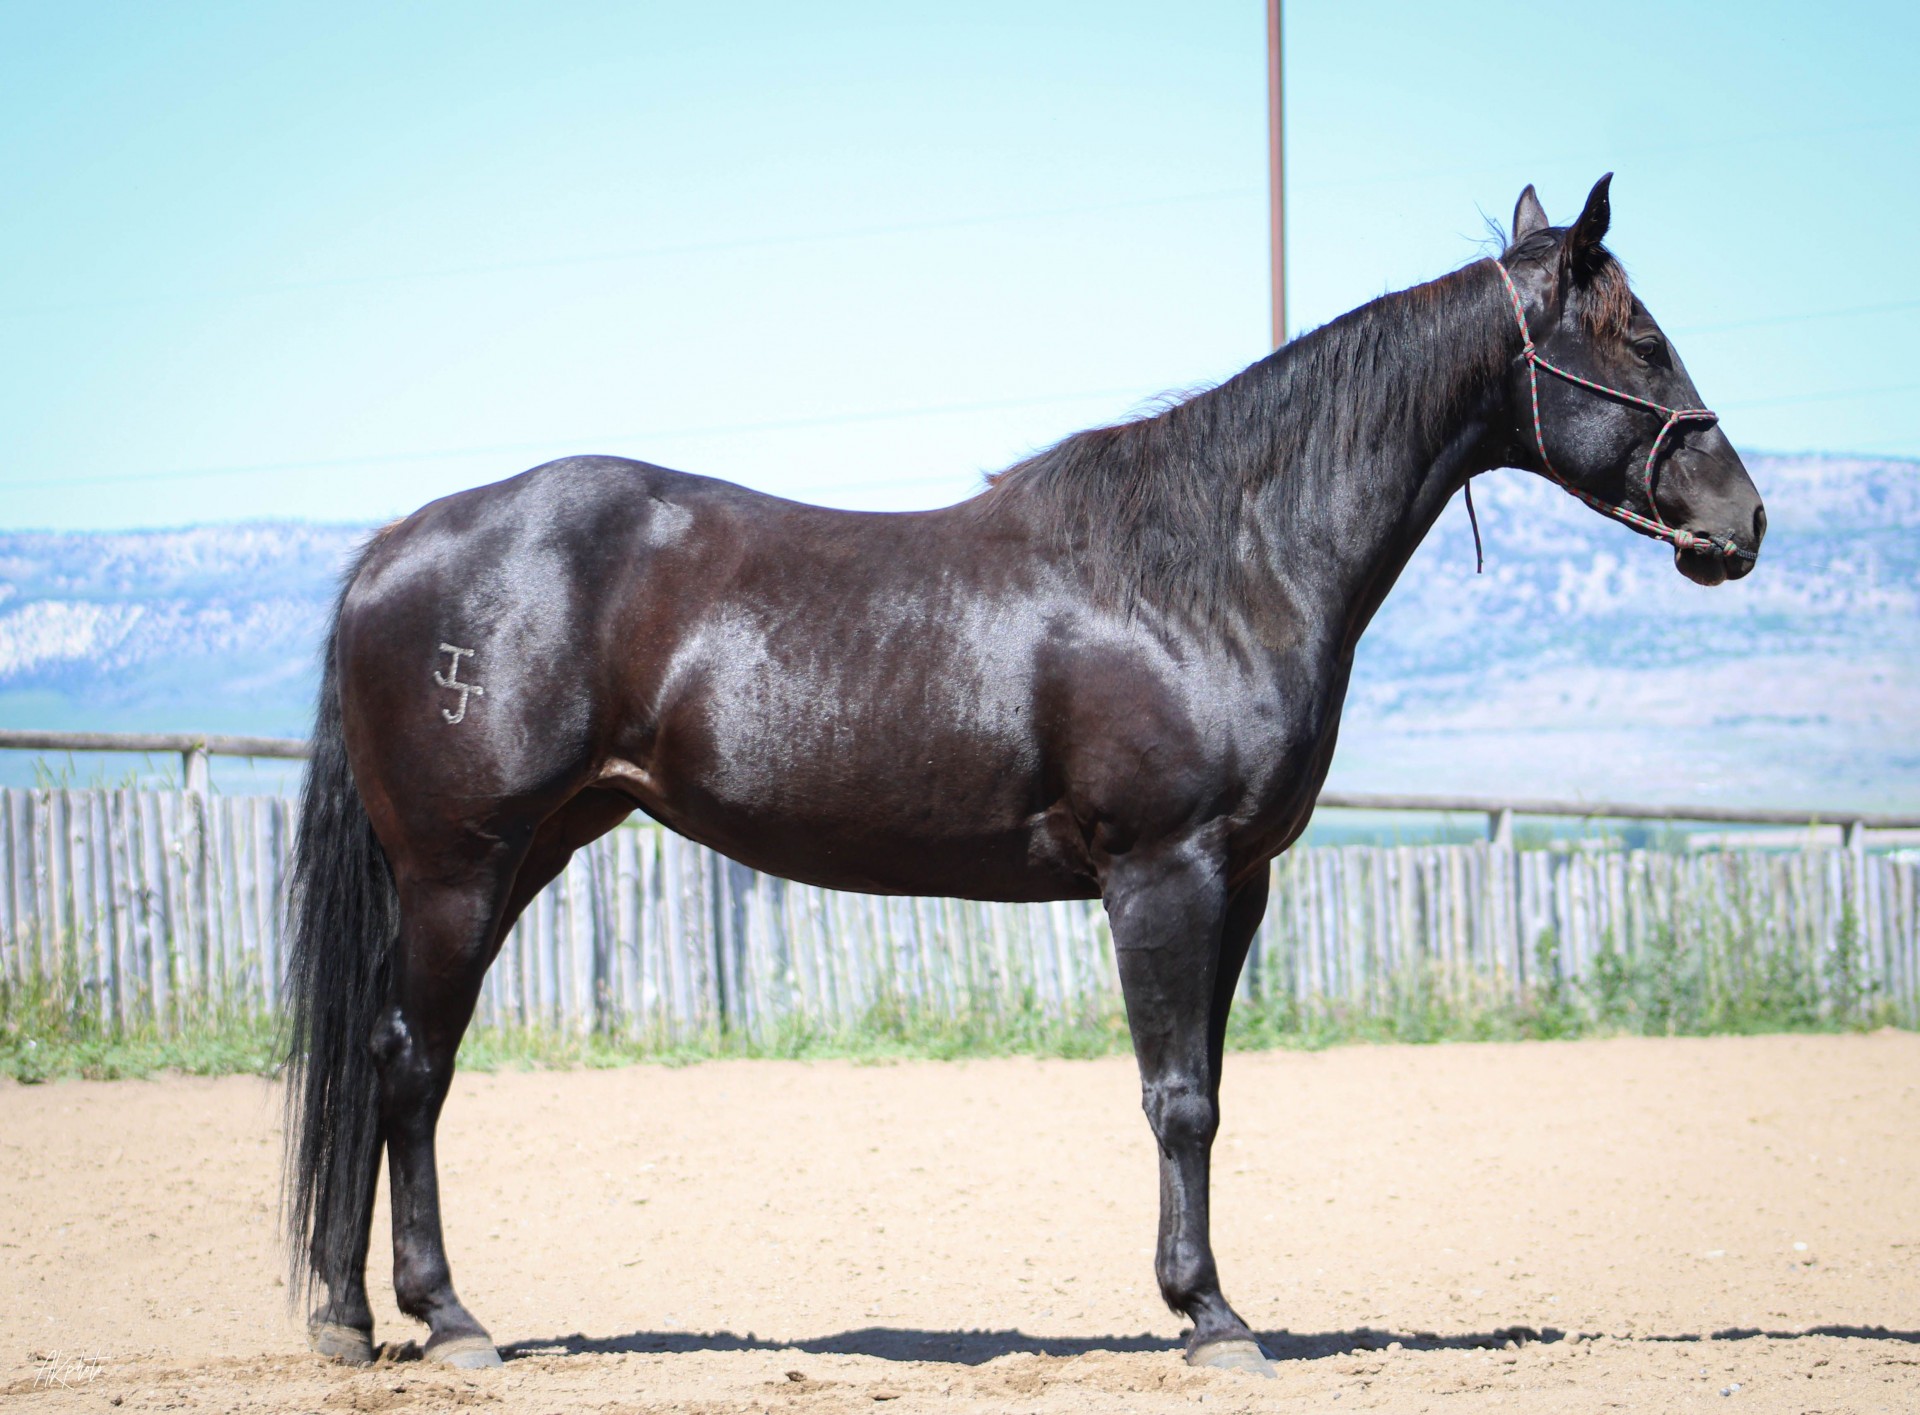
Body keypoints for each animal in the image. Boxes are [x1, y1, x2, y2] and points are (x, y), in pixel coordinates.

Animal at [283, 175, 1765, 1376]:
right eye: (1639, 335)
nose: (1741, 520)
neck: (1217, 565)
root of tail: (396, 546)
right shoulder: (1162, 871)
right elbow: (1179, 1097)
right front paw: (1212, 1318)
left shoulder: (1238, 884)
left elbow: (1207, 1087)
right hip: (465, 867)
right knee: (411, 1062)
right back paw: (449, 1319)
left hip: (519, 852)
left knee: (379, 1056)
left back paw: (348, 1318)